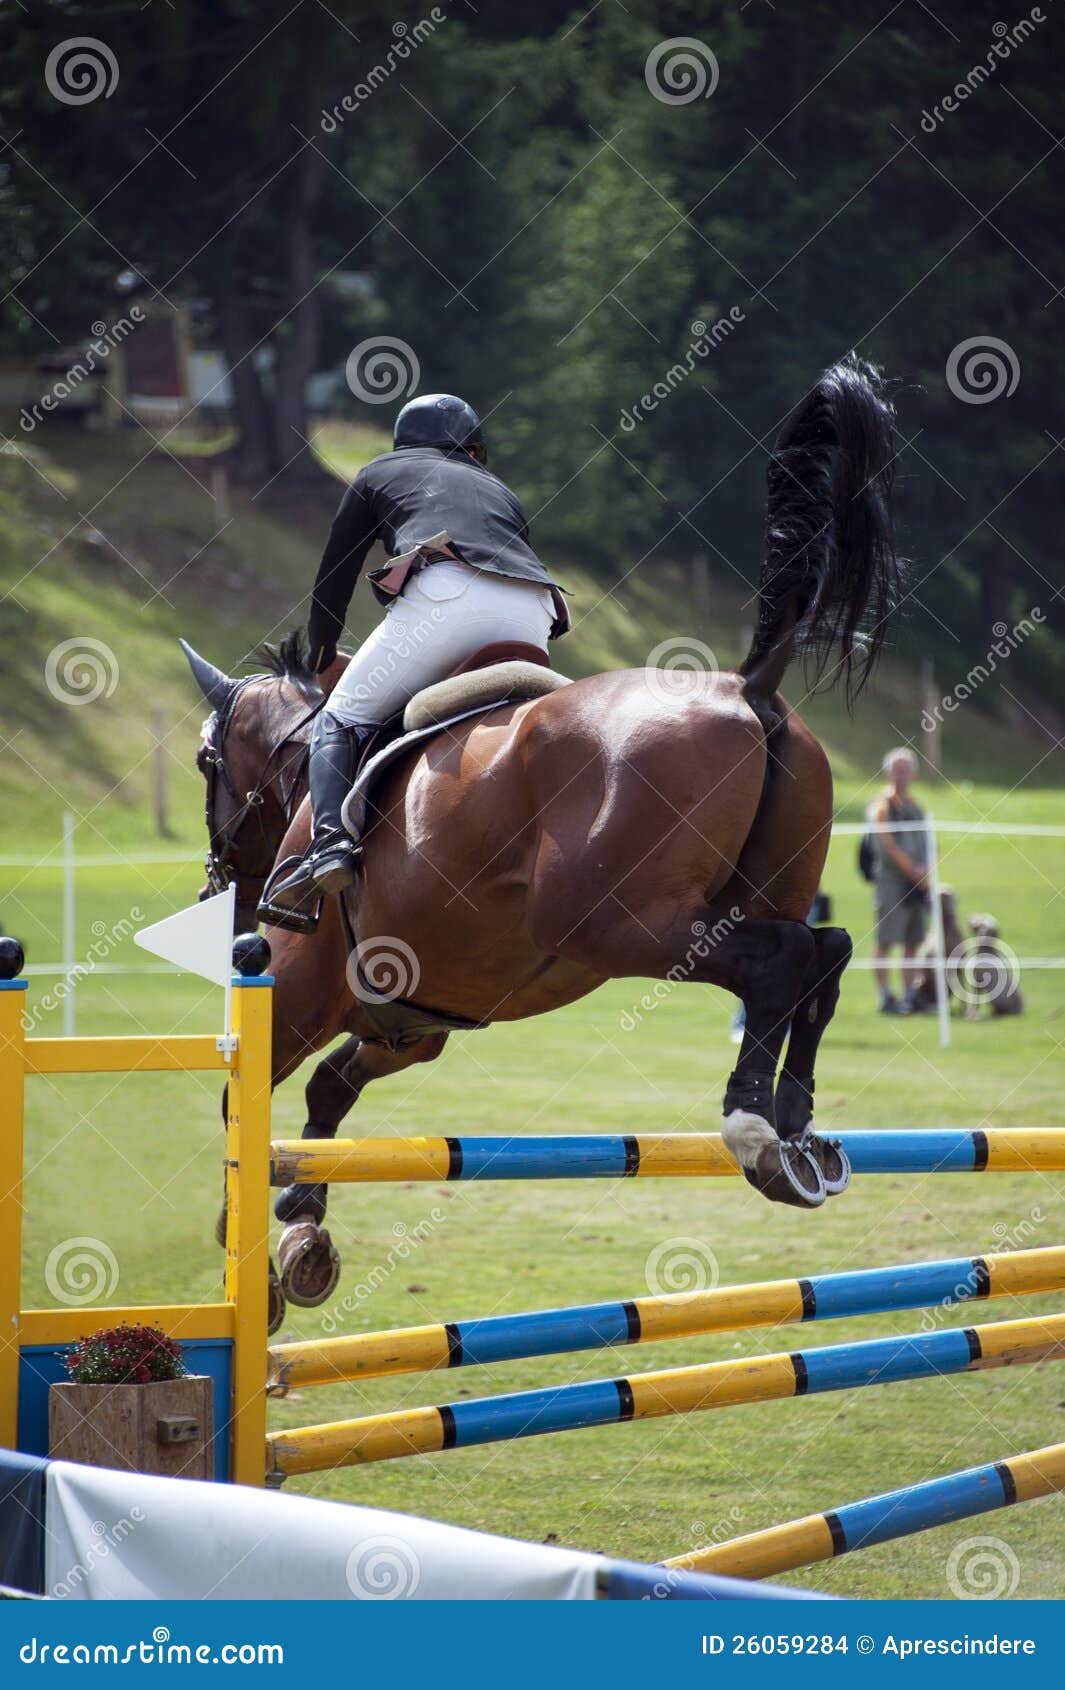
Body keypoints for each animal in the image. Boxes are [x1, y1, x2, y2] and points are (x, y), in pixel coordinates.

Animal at [183, 356, 899, 1323]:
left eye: (205, 761)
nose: (223, 892)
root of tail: (747, 688)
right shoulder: (411, 1020)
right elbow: (330, 1088)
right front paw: (301, 1225)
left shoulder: (297, 991)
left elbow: (244, 1102)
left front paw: (252, 1254)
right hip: (744, 894)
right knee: (823, 951)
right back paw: (795, 1130)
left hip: (616, 924)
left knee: (779, 961)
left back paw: (752, 1125)